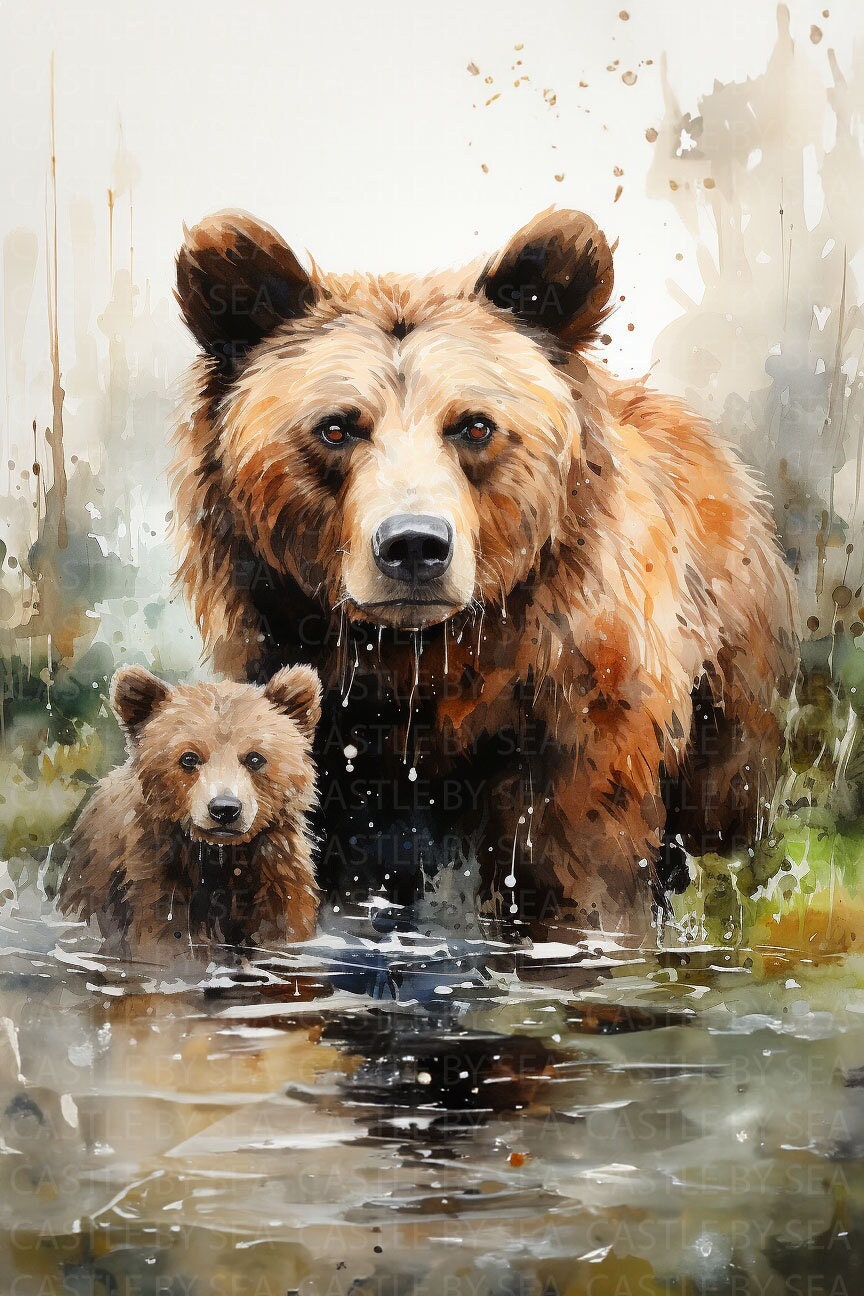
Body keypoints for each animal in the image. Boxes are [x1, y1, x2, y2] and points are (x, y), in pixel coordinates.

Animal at [57, 663, 323, 959]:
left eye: (255, 758)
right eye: (189, 758)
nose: (225, 809)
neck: (219, 856)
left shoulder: (276, 874)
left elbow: (284, 926)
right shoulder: (157, 875)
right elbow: (163, 935)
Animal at [170, 207, 799, 934]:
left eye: (474, 425)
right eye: (335, 428)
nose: (415, 546)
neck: (425, 663)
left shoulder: (574, 707)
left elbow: (575, 862)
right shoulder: (320, 711)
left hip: (730, 680)